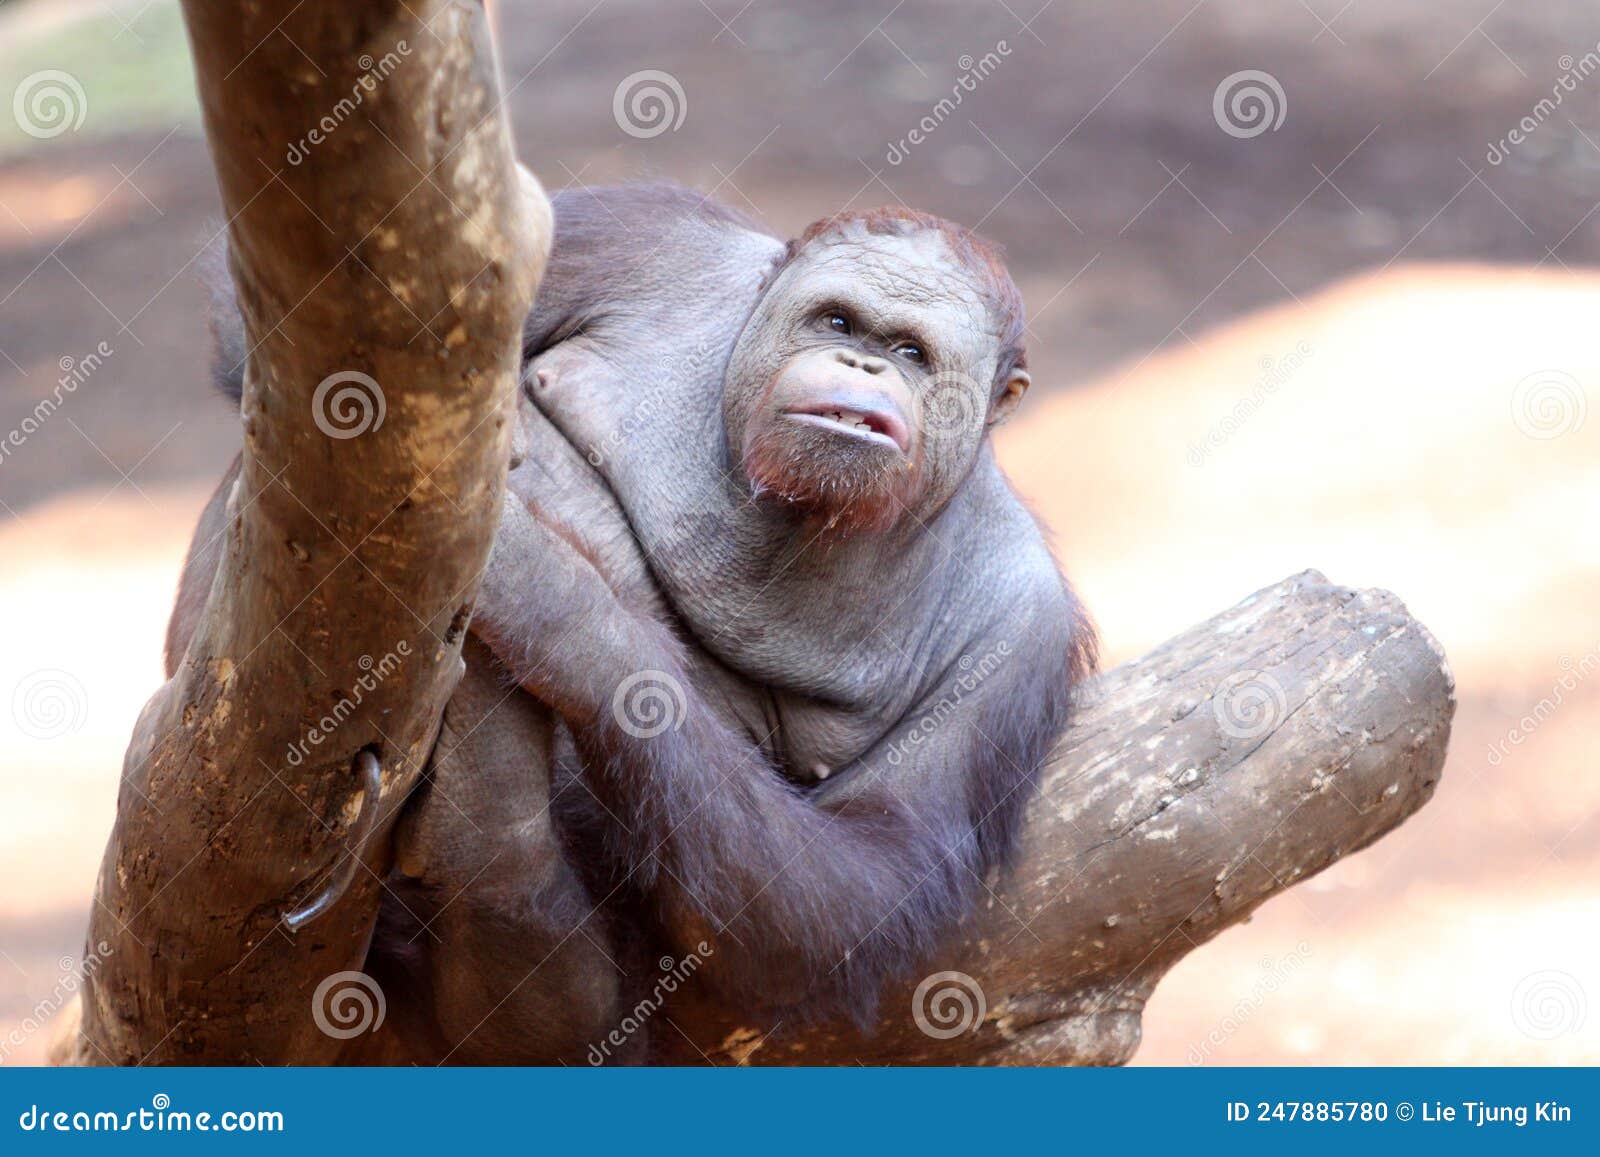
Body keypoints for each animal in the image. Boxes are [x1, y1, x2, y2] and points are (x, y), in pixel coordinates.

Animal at [178, 182, 1095, 1061]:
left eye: (910, 354)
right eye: (836, 320)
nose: (859, 361)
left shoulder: (1022, 635)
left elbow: (860, 889)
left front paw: (559, 601)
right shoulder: (643, 232)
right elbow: (287, 331)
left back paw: (495, 854)